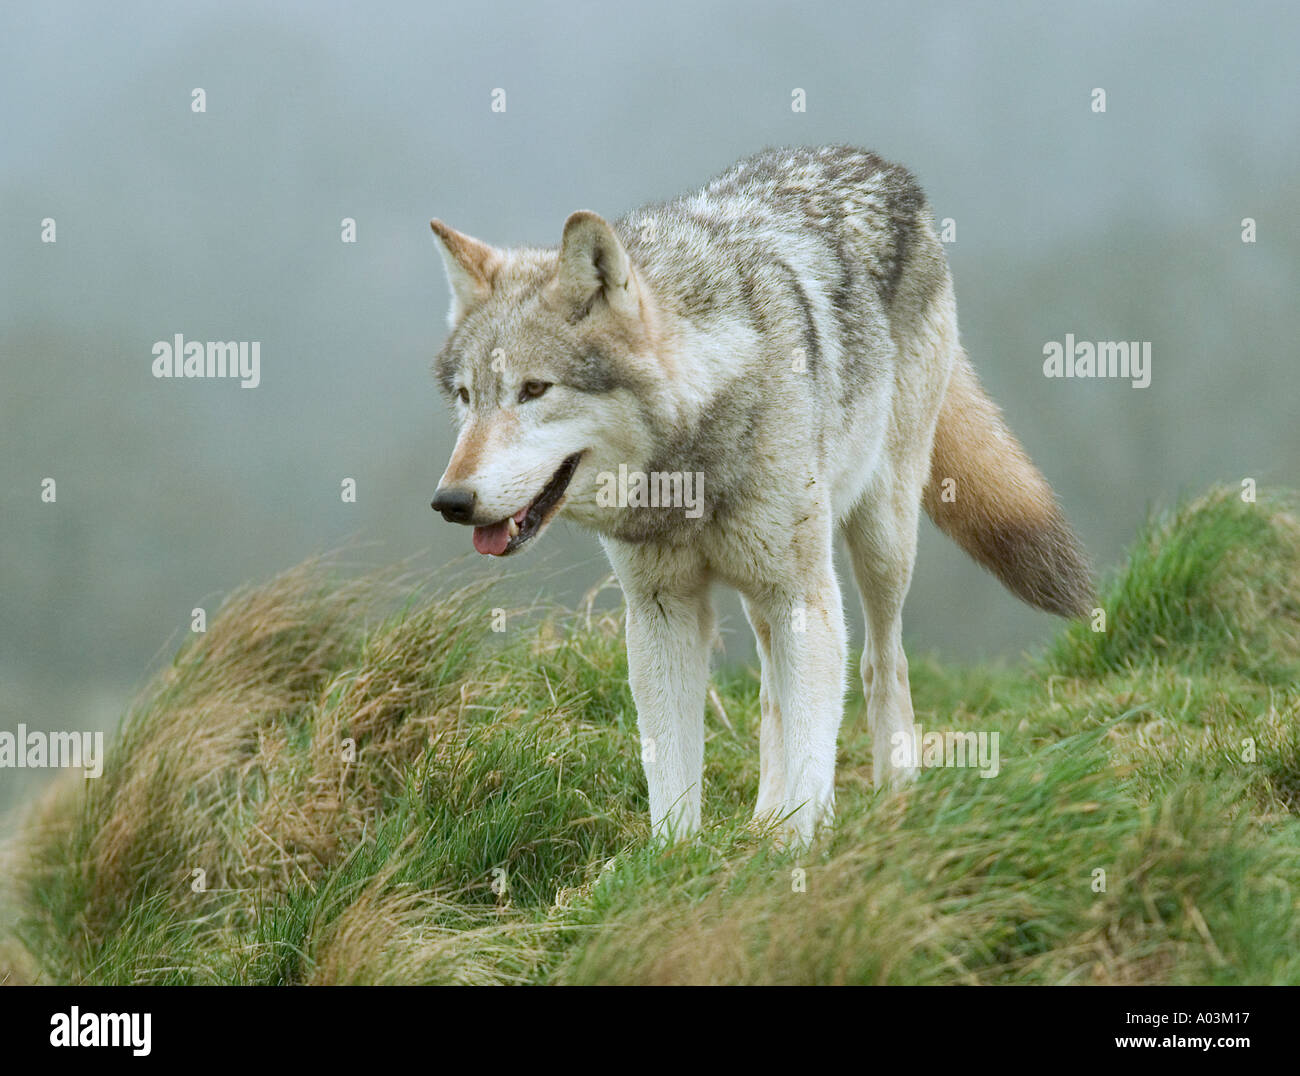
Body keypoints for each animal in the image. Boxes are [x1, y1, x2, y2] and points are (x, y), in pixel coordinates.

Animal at [428, 145, 1092, 848]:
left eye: (534, 390)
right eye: (467, 397)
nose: (450, 501)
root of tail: (875, 162)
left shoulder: (801, 593)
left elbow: (813, 741)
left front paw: (795, 848)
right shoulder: (661, 609)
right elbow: (672, 766)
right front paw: (677, 860)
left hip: (877, 541)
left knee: (881, 663)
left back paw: (892, 797)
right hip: (763, 587)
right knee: (776, 693)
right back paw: (768, 813)